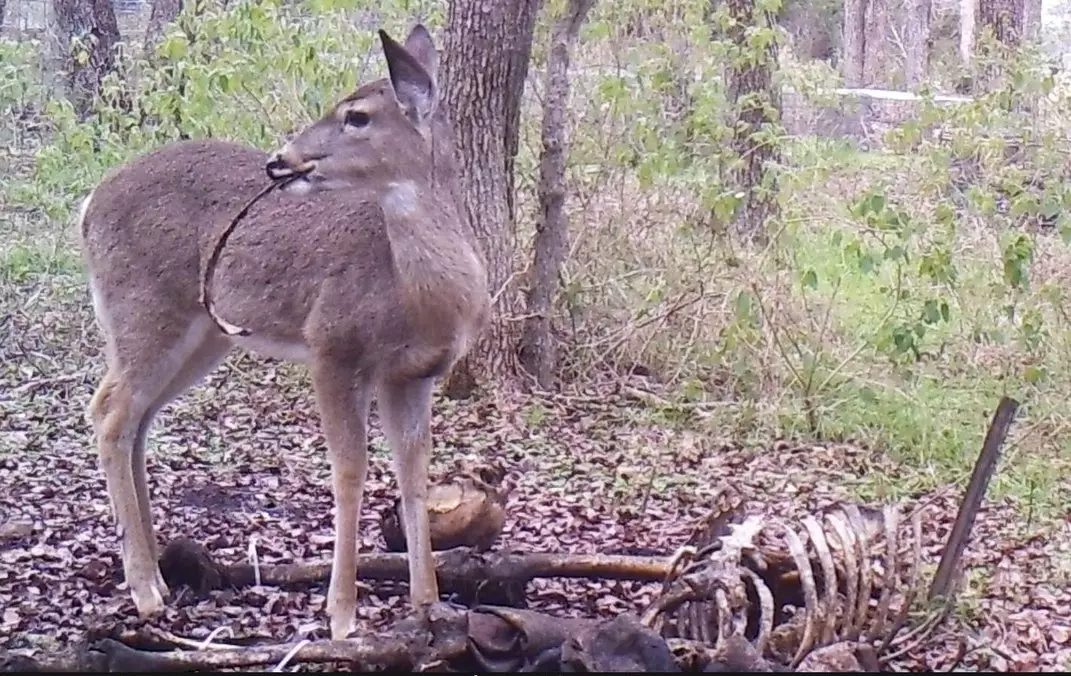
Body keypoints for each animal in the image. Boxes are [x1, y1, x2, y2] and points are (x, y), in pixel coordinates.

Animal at [77, 25, 490, 638]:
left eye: (357, 116)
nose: (281, 160)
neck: (421, 296)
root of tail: (86, 206)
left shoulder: (413, 375)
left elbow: (414, 475)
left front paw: (428, 605)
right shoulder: (333, 346)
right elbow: (350, 471)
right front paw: (342, 615)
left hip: (204, 334)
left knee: (136, 418)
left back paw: (159, 570)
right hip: (143, 309)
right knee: (108, 412)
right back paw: (146, 589)